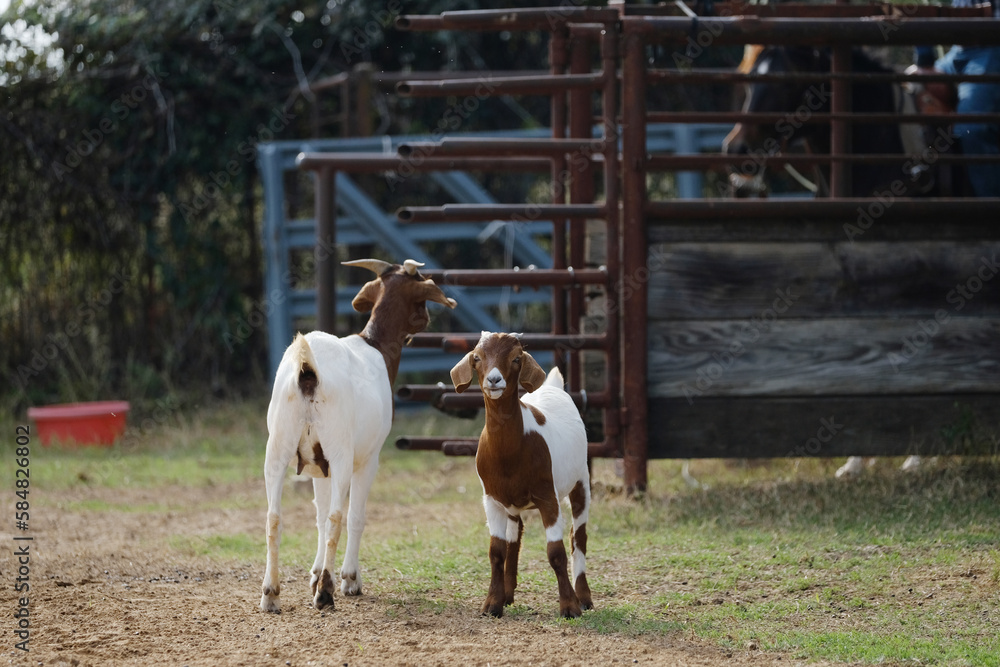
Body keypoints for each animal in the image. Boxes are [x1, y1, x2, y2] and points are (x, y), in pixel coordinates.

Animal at [260, 258, 456, 613]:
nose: (428, 319)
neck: (374, 345)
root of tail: (307, 371)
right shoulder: (368, 459)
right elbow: (354, 516)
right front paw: (348, 579)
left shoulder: (317, 465)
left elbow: (318, 515)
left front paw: (314, 574)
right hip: (340, 452)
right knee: (339, 516)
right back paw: (325, 594)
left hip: (278, 448)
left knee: (274, 517)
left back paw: (270, 593)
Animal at [450, 332, 593, 618]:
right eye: (477, 358)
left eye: (516, 358)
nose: (494, 380)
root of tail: (554, 387)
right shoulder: (492, 499)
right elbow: (496, 551)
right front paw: (492, 603)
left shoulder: (548, 497)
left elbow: (556, 552)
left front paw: (569, 607)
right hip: (512, 501)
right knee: (515, 537)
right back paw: (507, 594)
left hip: (581, 480)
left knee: (578, 536)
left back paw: (584, 597)